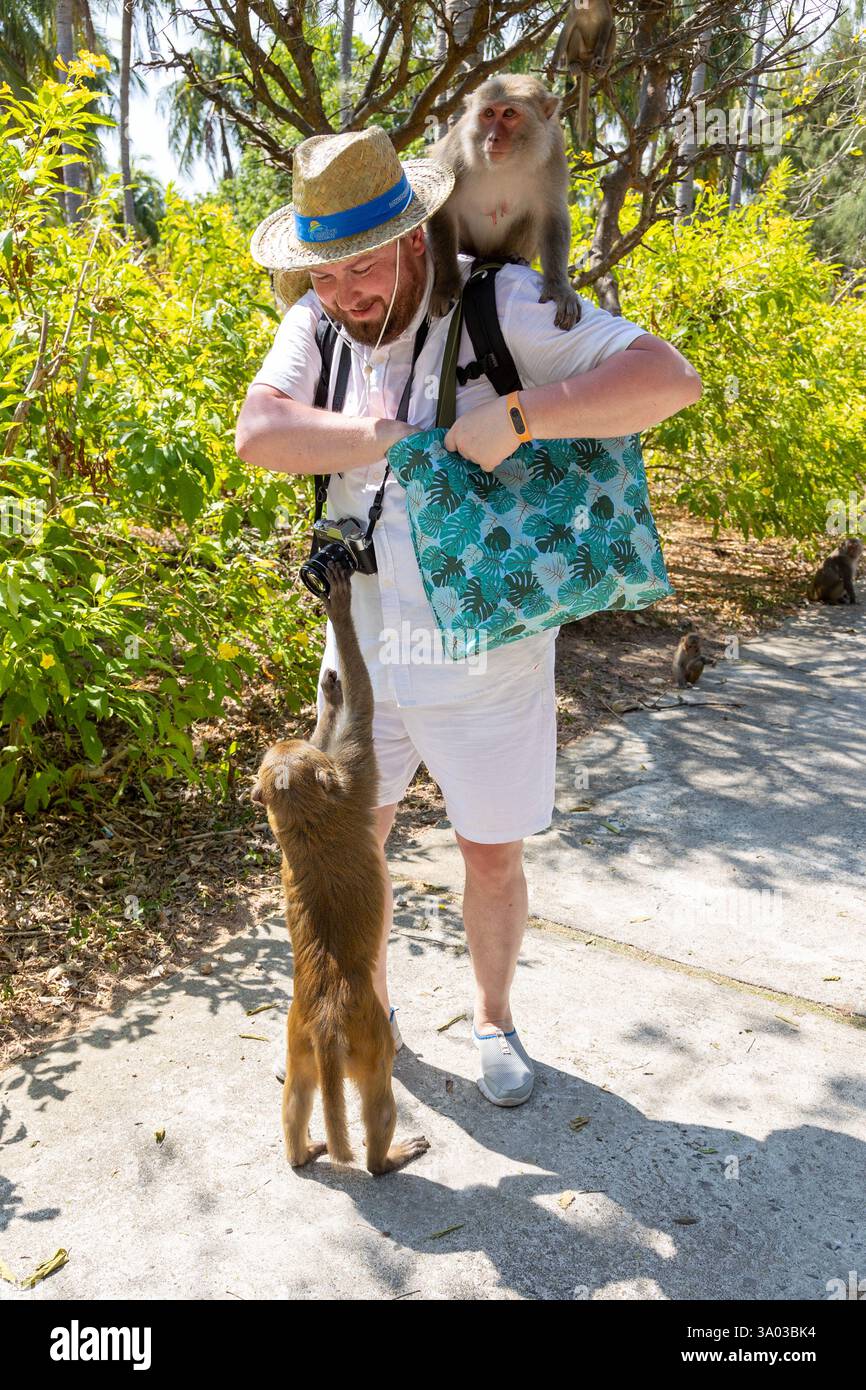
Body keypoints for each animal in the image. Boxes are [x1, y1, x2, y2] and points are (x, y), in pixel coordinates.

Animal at [251, 558, 430, 1175]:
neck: (305, 826)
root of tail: (328, 1021)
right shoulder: (352, 779)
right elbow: (365, 711)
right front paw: (339, 604)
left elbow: (337, 731)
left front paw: (330, 693)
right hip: (370, 1043)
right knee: (378, 1100)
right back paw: (388, 1157)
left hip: (299, 1043)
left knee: (295, 1100)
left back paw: (302, 1151)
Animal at [426, 74, 581, 330]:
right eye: (488, 113)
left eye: (509, 113)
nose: (492, 138)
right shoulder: (457, 151)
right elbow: (444, 208)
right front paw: (446, 286)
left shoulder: (553, 152)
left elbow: (552, 215)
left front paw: (559, 287)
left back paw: (511, 256)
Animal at [547, 0, 617, 149]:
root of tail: (586, 62)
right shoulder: (573, 7)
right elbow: (567, 30)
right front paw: (553, 65)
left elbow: (607, 22)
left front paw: (599, 55)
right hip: (582, 53)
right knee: (575, 31)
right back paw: (573, 63)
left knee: (612, 29)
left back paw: (603, 67)